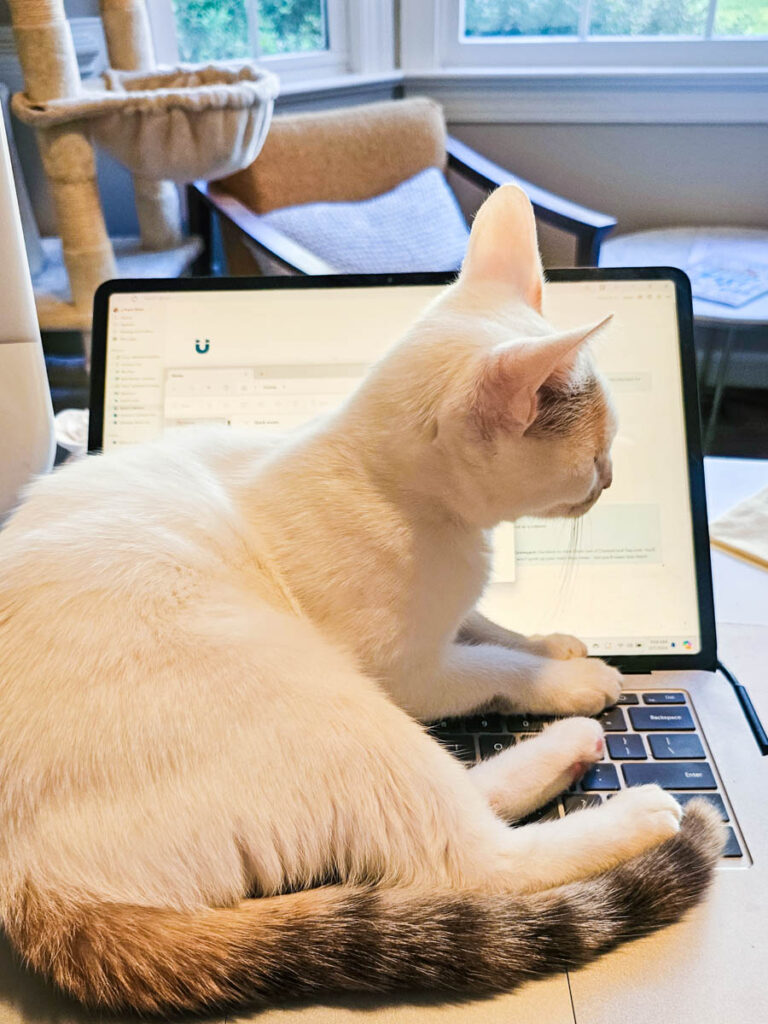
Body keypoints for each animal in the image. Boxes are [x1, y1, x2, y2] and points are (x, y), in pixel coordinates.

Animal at [0, 186, 720, 1015]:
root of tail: (28, 880)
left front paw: (555, 644)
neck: (412, 503)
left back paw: (571, 747)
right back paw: (628, 799)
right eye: (594, 455)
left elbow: (488, 624)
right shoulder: (411, 674)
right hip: (332, 699)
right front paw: (567, 675)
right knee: (469, 860)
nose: (607, 479)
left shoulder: (452, 617)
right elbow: (493, 667)